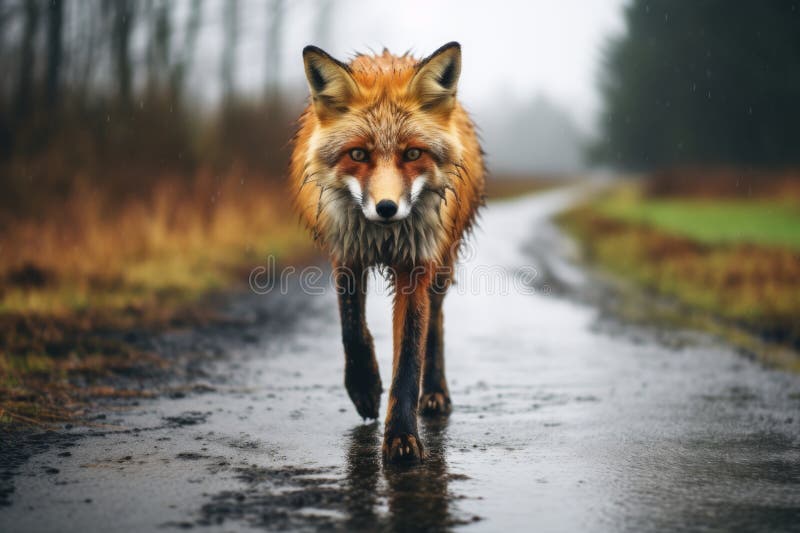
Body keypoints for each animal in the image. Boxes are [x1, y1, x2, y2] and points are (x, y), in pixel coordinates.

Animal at [289, 42, 485, 463]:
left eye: (412, 154)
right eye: (358, 155)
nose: (386, 208)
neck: (384, 237)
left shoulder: (416, 264)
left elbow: (410, 355)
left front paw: (401, 437)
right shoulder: (346, 252)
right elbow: (352, 329)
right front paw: (364, 387)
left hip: (442, 263)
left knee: (436, 323)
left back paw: (435, 392)